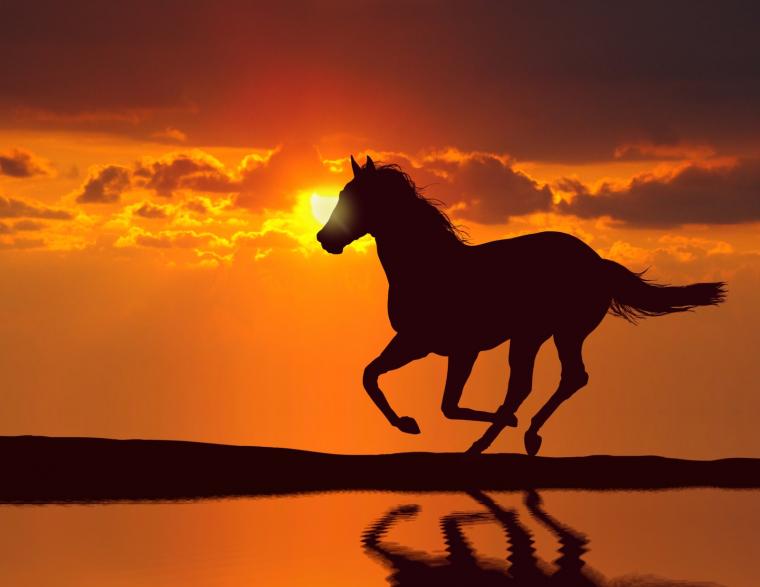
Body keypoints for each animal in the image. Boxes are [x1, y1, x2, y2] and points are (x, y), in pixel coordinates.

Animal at [316, 155, 726, 455]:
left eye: (355, 199)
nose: (324, 239)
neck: (429, 268)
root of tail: (597, 263)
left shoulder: (459, 348)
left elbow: (447, 405)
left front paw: (415, 423)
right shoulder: (415, 343)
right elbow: (370, 375)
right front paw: (406, 424)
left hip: (550, 333)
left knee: (551, 381)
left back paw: (506, 438)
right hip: (539, 336)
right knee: (547, 381)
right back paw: (516, 436)